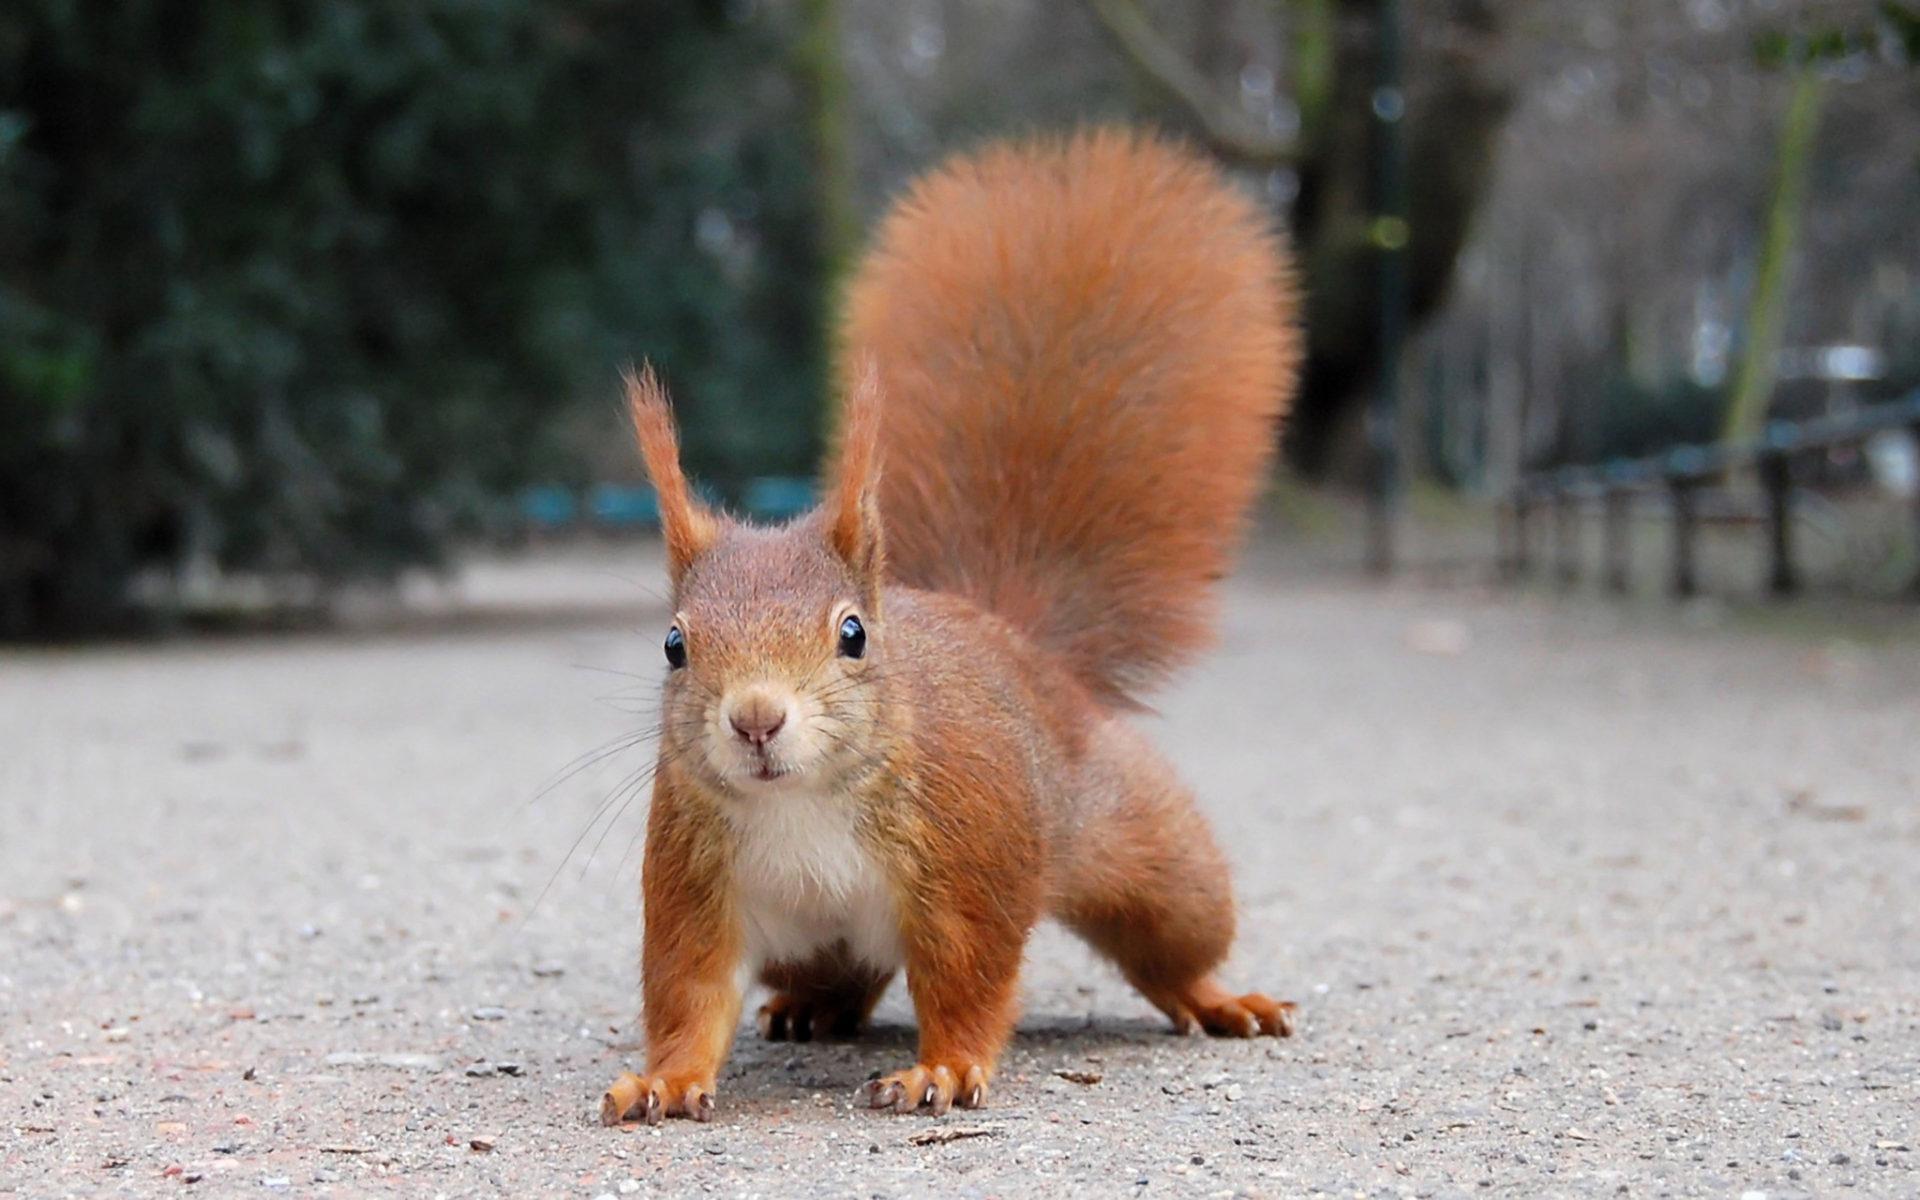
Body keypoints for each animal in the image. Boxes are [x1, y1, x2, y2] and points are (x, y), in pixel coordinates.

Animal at [601, 128, 1302, 1125]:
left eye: (854, 634)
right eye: (673, 645)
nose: (756, 719)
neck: (800, 802)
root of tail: (1018, 639)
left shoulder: (969, 863)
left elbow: (967, 978)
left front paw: (942, 1068)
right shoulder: (696, 884)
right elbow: (689, 994)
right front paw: (663, 1079)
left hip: (1150, 853)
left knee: (1173, 942)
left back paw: (1217, 998)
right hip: (809, 940)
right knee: (844, 973)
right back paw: (811, 1009)